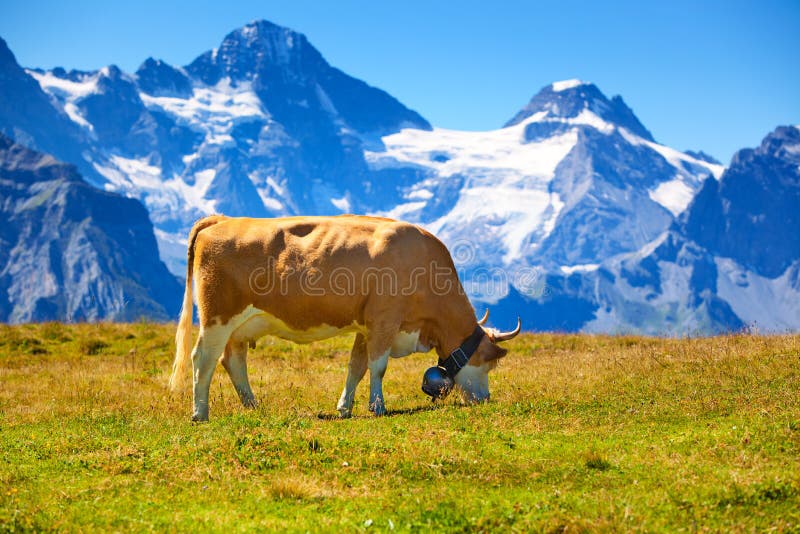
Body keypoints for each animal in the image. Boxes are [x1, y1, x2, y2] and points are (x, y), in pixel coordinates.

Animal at [169, 214, 521, 421]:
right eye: (489, 362)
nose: (485, 400)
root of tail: (222, 219)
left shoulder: (366, 326)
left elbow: (356, 367)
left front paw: (344, 408)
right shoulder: (384, 320)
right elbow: (378, 368)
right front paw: (378, 407)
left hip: (241, 325)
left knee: (232, 360)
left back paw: (253, 406)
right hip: (217, 315)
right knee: (202, 358)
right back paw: (200, 413)